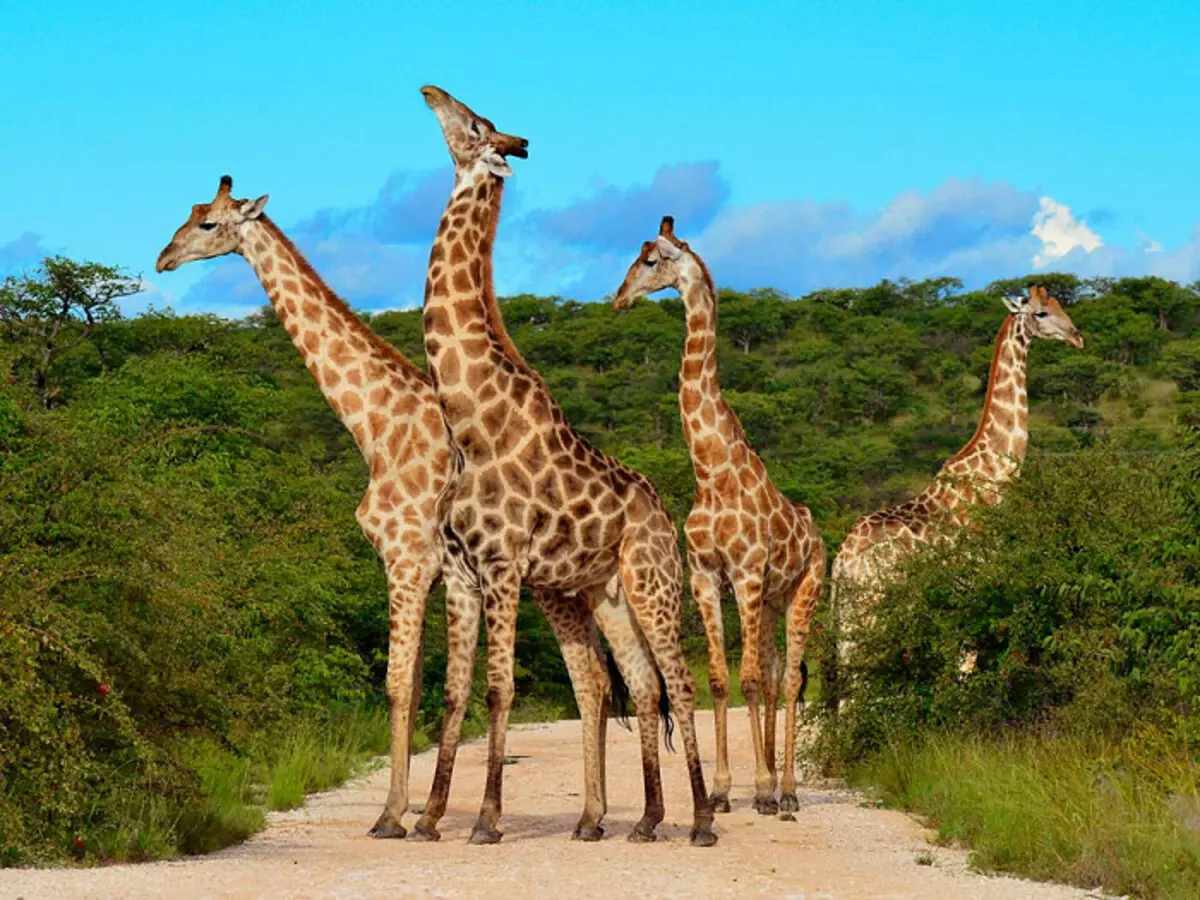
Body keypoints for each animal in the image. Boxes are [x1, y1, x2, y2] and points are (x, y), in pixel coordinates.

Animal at [415, 82, 710, 844]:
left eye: (474, 124)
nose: (430, 92)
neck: (470, 420)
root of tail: (662, 511)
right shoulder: (461, 571)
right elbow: (455, 690)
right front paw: (425, 819)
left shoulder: (502, 565)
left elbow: (499, 688)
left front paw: (485, 820)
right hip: (600, 590)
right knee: (632, 681)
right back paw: (633, 820)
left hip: (652, 581)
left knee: (677, 680)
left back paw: (700, 819)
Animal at [619, 217, 825, 816]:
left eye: (650, 260)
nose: (618, 298)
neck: (711, 473)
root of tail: (818, 533)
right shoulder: (706, 576)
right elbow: (718, 679)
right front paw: (724, 789)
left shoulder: (748, 573)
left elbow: (749, 681)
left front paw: (758, 789)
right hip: (773, 598)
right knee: (778, 671)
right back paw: (775, 781)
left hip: (804, 590)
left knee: (788, 678)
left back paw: (786, 790)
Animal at [830, 285, 1084, 681]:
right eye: (1040, 313)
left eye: (1061, 304)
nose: (1077, 337)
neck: (995, 473)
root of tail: (841, 558)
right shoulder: (974, 580)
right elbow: (966, 663)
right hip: (870, 607)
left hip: (850, 614)